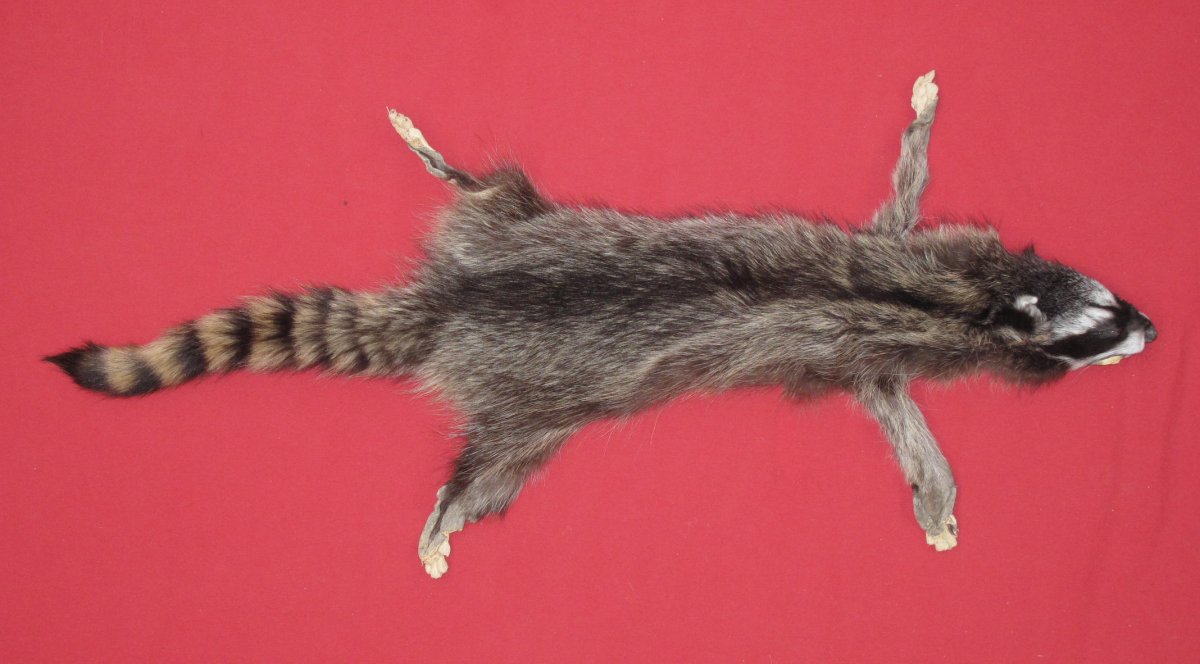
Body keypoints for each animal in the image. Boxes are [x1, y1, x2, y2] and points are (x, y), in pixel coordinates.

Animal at [47, 72, 1156, 577]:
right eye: (1100, 336)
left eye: (1109, 307)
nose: (1153, 324)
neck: (982, 300)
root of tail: (452, 307)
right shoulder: (889, 338)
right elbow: (917, 430)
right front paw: (938, 508)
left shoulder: (910, 259)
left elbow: (903, 191)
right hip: (530, 417)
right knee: (491, 469)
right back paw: (451, 505)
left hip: (511, 228)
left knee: (493, 194)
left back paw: (447, 169)